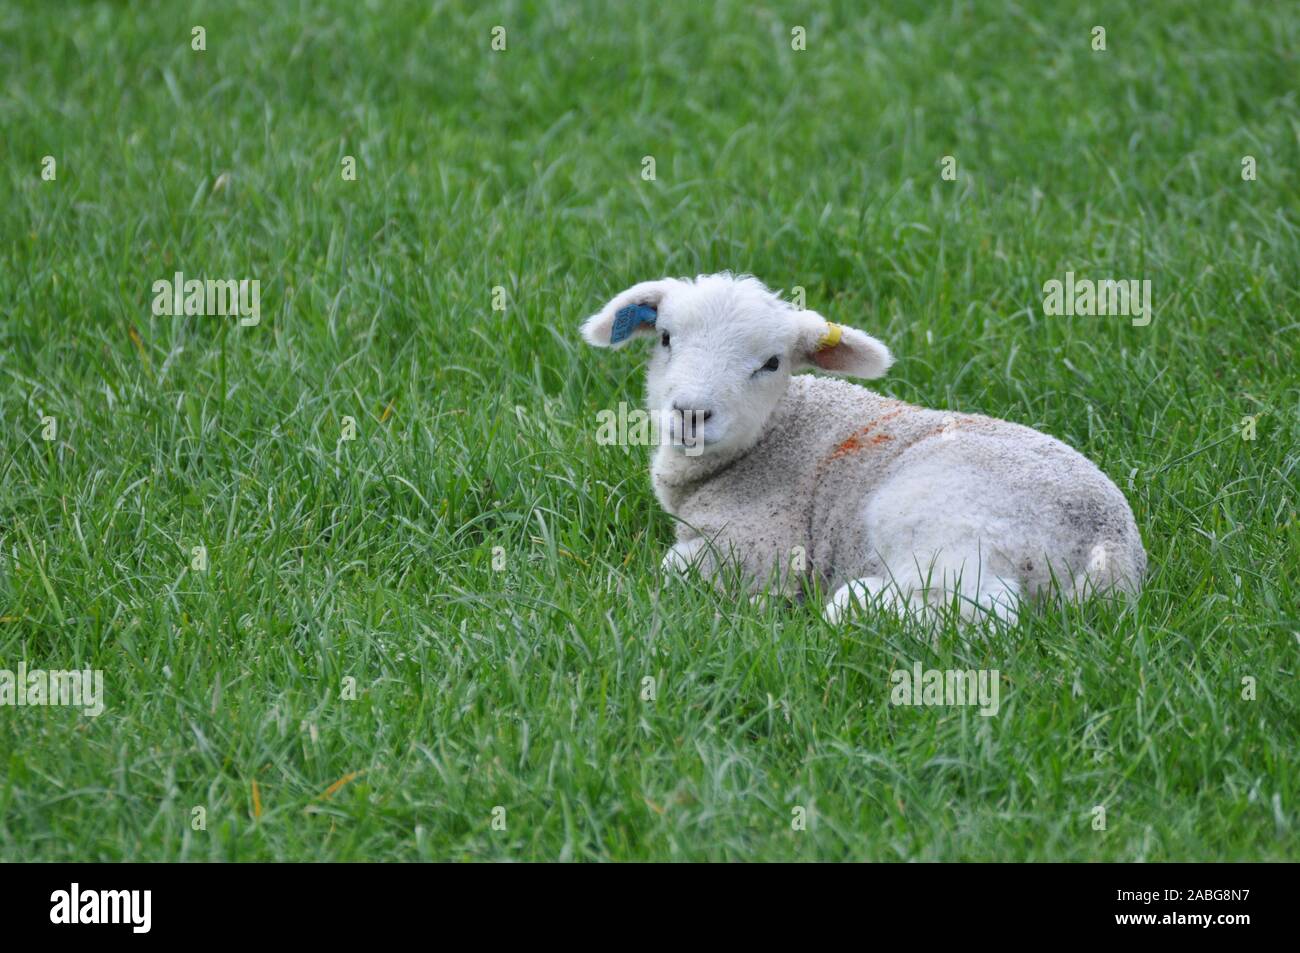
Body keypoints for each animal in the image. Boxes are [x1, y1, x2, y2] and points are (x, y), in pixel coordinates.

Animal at [580, 273, 1146, 626]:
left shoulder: (759, 544)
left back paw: (854, 603)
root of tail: (1112, 549)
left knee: (989, 610)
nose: (691, 413)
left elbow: (672, 569)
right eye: (665, 338)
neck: (774, 436)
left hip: (942, 516)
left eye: (771, 363)